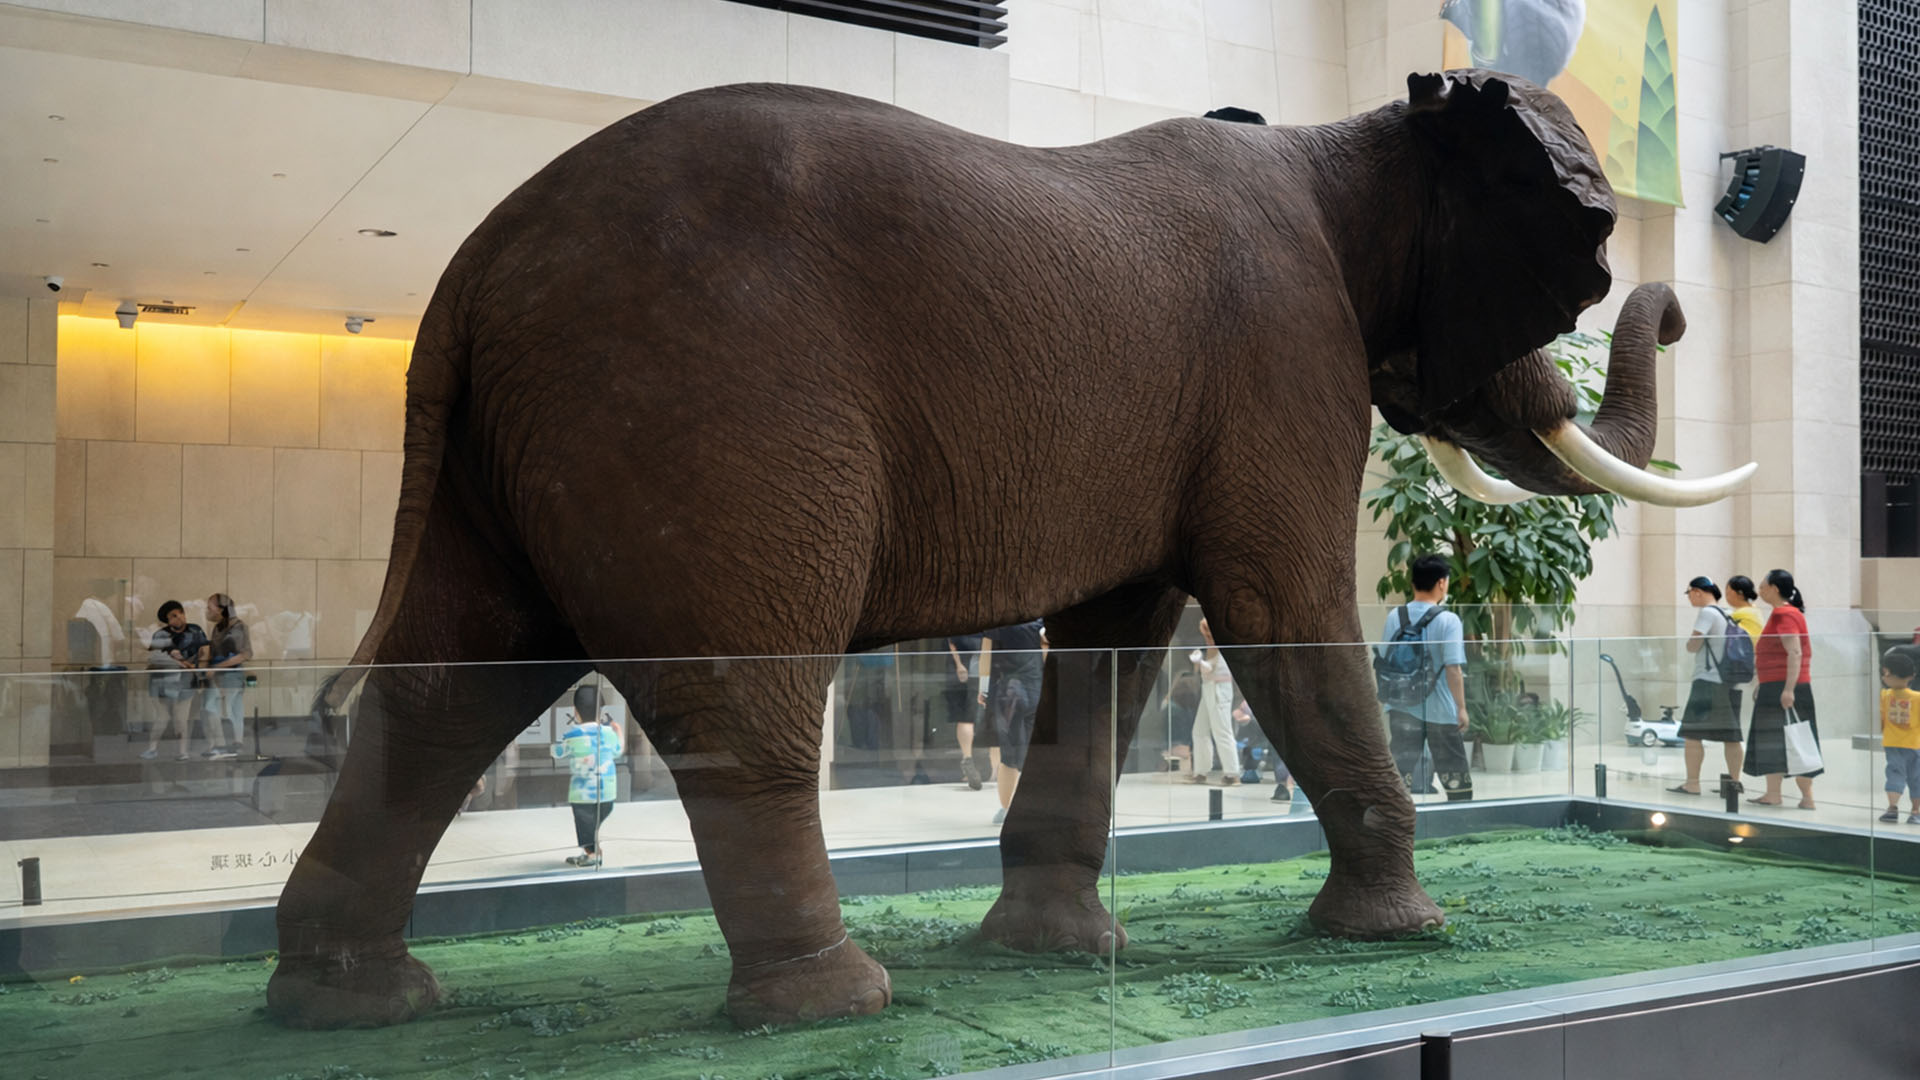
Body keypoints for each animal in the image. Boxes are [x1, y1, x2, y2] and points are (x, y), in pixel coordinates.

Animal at [265, 69, 1751, 1030]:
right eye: (1569, 283)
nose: (1679, 308)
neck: (1353, 135)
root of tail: (464, 279)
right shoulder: (1281, 358)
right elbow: (1278, 603)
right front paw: (1400, 933)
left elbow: (1121, 636)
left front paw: (1053, 949)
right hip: (703, 413)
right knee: (738, 697)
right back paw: (829, 1005)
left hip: (528, 444)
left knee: (446, 687)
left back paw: (350, 1001)